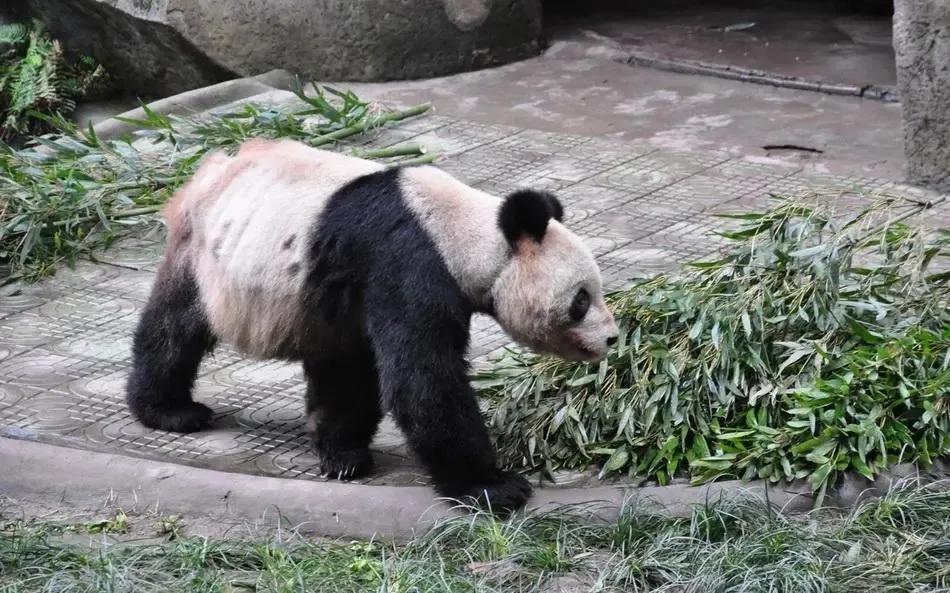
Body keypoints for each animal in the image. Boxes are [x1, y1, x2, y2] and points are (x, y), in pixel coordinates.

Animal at [126, 138, 618, 512]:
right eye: (581, 299)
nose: (612, 338)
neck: (469, 233)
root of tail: (207, 171)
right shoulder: (407, 261)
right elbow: (422, 378)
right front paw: (493, 486)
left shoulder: (356, 291)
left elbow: (355, 370)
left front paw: (344, 455)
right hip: (204, 252)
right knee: (175, 328)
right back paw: (170, 410)